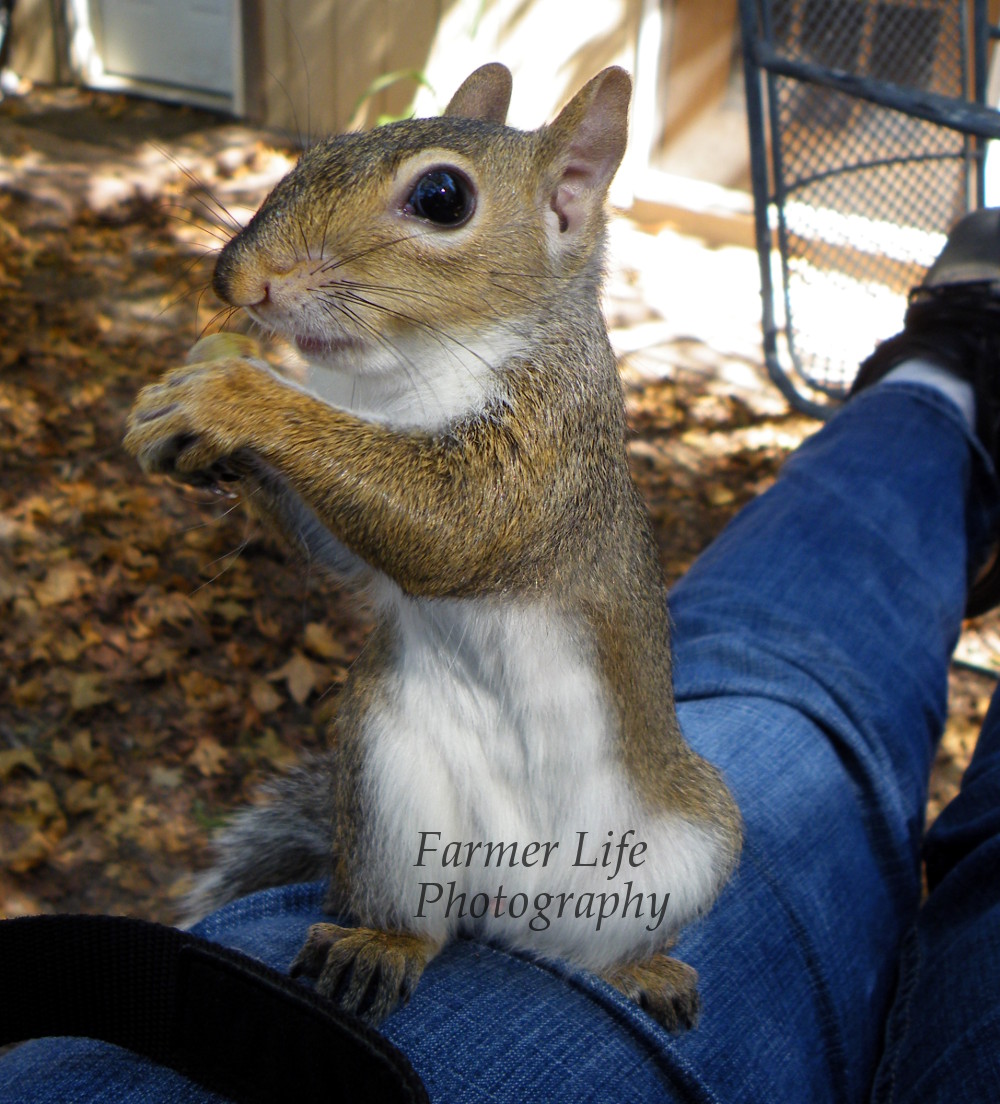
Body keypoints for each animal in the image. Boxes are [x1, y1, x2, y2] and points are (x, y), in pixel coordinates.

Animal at [124, 63, 742, 1032]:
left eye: (442, 198)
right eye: (331, 144)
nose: (239, 281)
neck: (403, 374)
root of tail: (512, 901)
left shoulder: (547, 450)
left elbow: (452, 528)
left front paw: (232, 392)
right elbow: (350, 552)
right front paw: (188, 425)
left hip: (691, 843)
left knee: (600, 948)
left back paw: (640, 971)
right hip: (390, 788)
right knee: (424, 921)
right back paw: (379, 947)